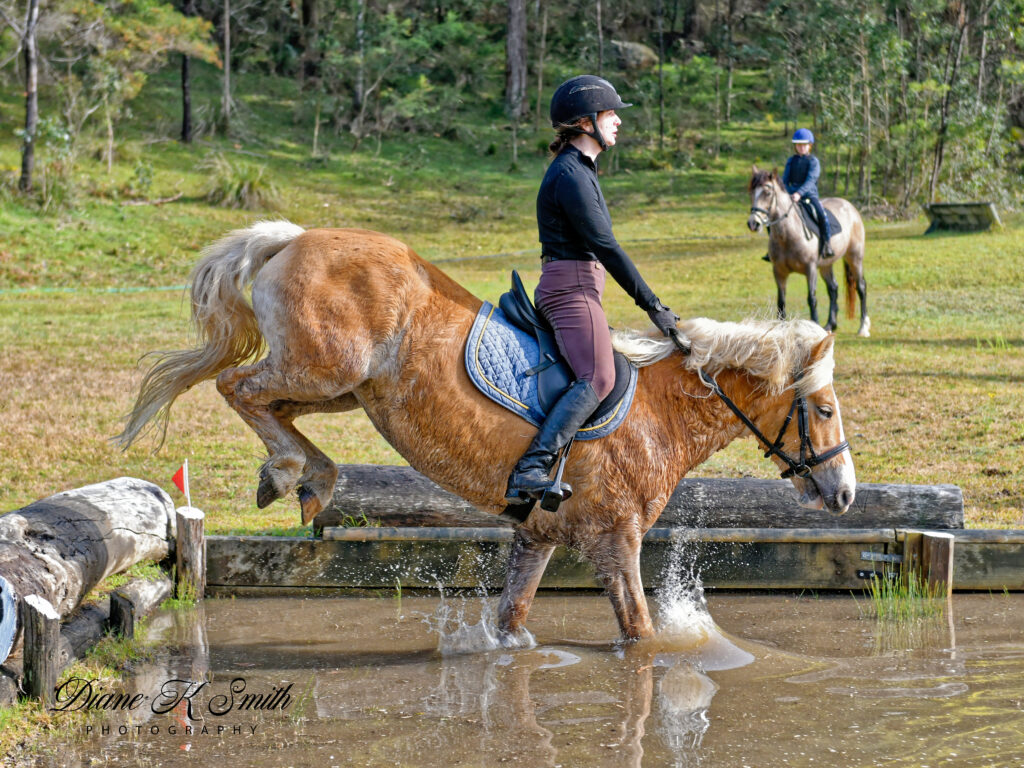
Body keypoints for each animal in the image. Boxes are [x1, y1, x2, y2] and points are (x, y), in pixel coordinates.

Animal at [118, 222, 857, 642]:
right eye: (824, 411)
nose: (847, 494)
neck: (660, 412)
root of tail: (294, 236)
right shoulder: (616, 540)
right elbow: (640, 636)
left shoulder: (539, 535)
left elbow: (512, 620)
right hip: (329, 368)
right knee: (237, 387)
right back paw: (292, 473)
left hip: (341, 390)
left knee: (276, 408)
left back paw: (310, 477)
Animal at [747, 166, 871, 338]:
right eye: (752, 192)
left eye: (767, 192)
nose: (753, 223)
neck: (788, 234)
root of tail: (849, 206)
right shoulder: (779, 271)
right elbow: (781, 301)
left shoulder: (810, 269)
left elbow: (812, 299)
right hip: (826, 265)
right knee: (833, 288)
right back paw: (830, 324)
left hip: (854, 258)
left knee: (861, 287)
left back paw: (863, 327)